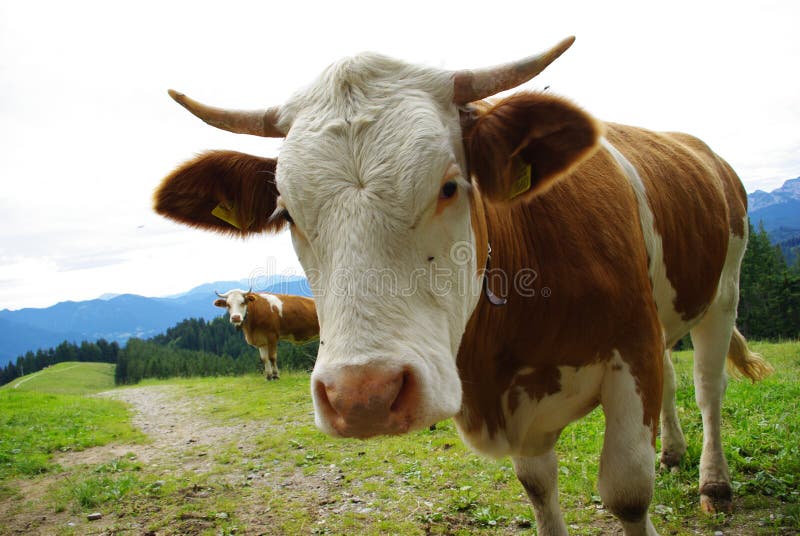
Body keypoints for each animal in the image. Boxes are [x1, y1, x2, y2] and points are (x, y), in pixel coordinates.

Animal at [154, 36, 773, 535]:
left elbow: (626, 493)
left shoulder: (630, 348)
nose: (363, 396)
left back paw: (713, 483)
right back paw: (672, 451)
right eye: (285, 212)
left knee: (707, 386)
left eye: (450, 186)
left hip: (724, 291)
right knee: (673, 375)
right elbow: (538, 488)